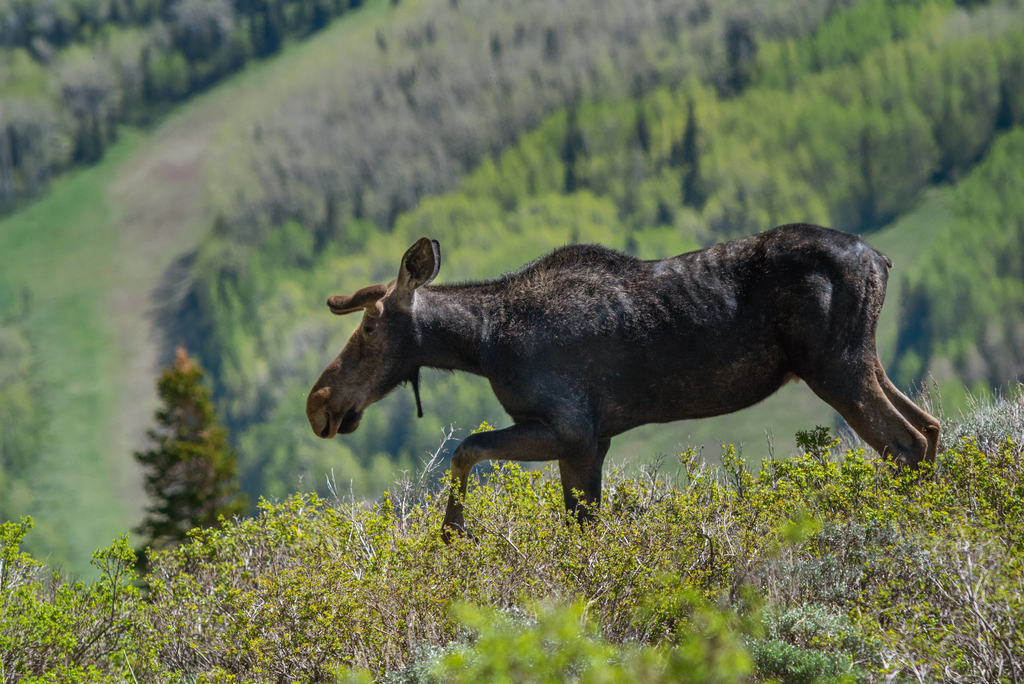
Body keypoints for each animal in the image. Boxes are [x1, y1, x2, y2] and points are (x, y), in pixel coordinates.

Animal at [306, 223, 940, 539]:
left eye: (368, 329)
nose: (319, 403)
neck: (483, 345)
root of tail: (881, 259)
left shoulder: (570, 429)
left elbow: (465, 449)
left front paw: (453, 532)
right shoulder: (594, 440)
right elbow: (581, 521)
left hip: (834, 366)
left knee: (904, 442)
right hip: (859, 359)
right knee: (929, 427)